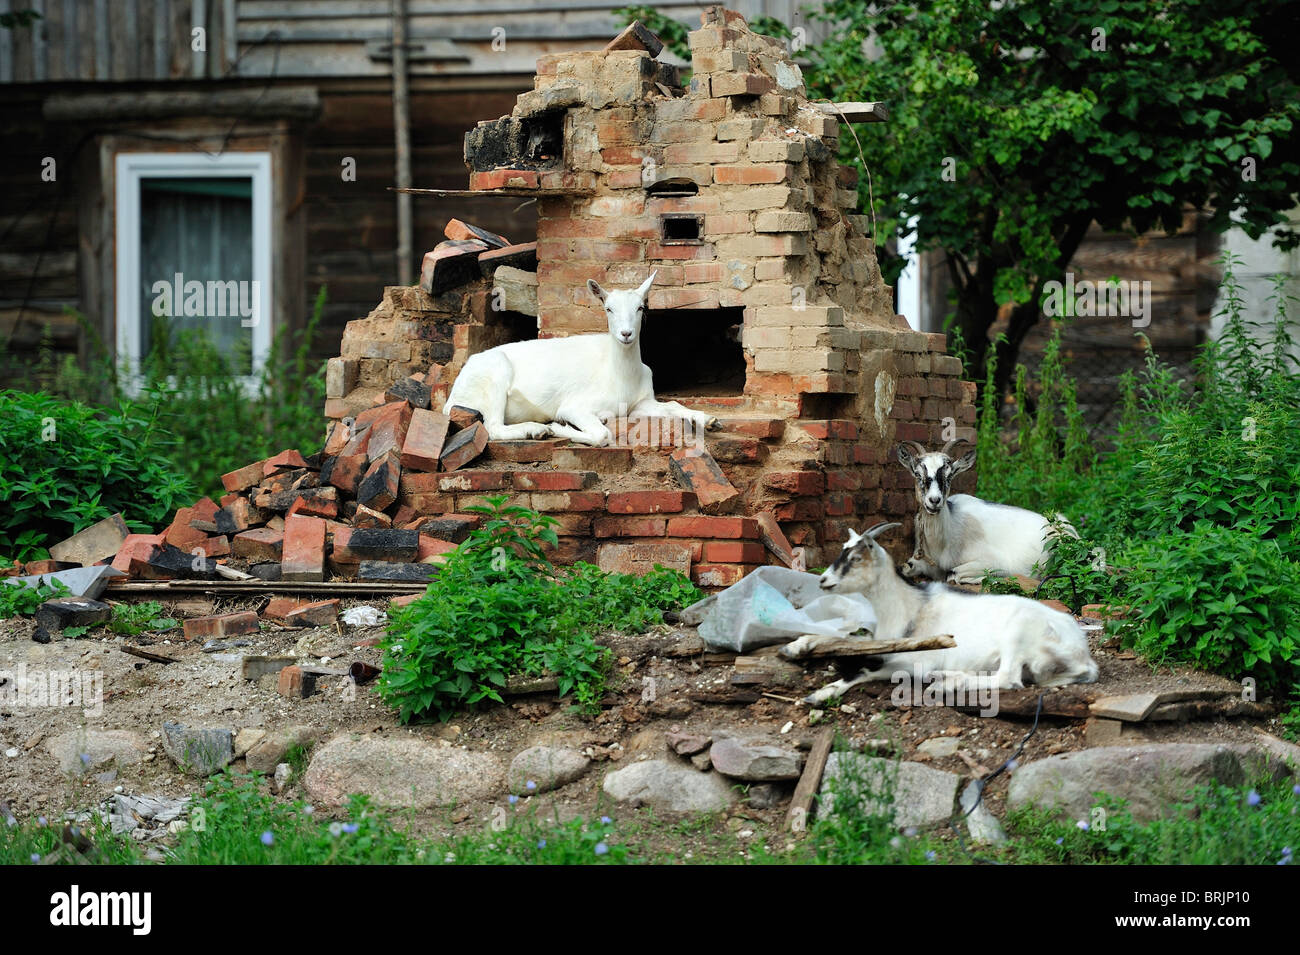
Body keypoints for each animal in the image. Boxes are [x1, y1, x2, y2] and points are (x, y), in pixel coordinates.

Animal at [443, 272, 722, 445]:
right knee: (492, 427)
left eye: (640, 307)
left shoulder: (639, 404)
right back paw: (537, 430)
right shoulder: (575, 406)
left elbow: (672, 404)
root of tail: (453, 395)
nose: (626, 334)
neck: (620, 374)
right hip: (495, 373)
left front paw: (710, 420)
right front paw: (558, 427)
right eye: (608, 308)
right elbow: (602, 435)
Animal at [781, 522, 1098, 705]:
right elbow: (853, 643)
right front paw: (797, 648)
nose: (823, 581)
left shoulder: (916, 660)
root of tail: (1083, 654)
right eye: (841, 550)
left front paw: (818, 692)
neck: (912, 606)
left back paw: (949, 682)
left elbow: (865, 668)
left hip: (1018, 632)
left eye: (857, 558)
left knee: (1008, 678)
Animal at [896, 439, 1074, 584]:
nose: (934, 500)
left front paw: (990, 578)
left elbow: (952, 574)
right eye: (917, 473)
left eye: (950, 475)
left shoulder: (992, 561)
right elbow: (903, 568)